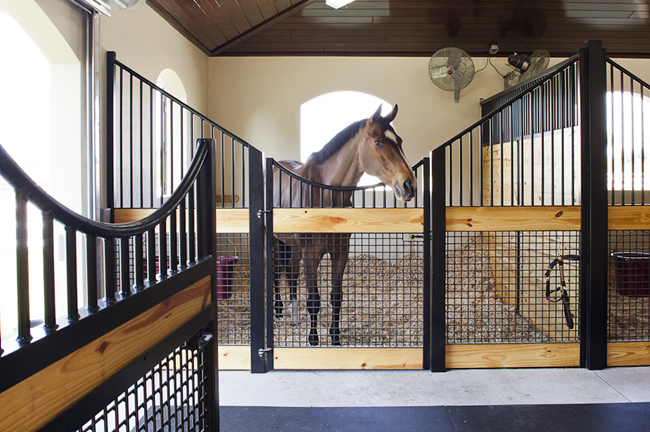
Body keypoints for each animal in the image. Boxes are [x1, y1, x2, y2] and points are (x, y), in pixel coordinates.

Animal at [272, 104, 416, 346]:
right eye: (378, 142)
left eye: (400, 141)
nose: (409, 185)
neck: (323, 192)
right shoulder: (311, 254)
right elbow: (314, 300)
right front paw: (313, 339)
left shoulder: (340, 252)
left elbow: (336, 297)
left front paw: (335, 337)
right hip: (274, 241)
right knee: (275, 273)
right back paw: (278, 310)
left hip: (292, 244)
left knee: (291, 273)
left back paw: (294, 317)